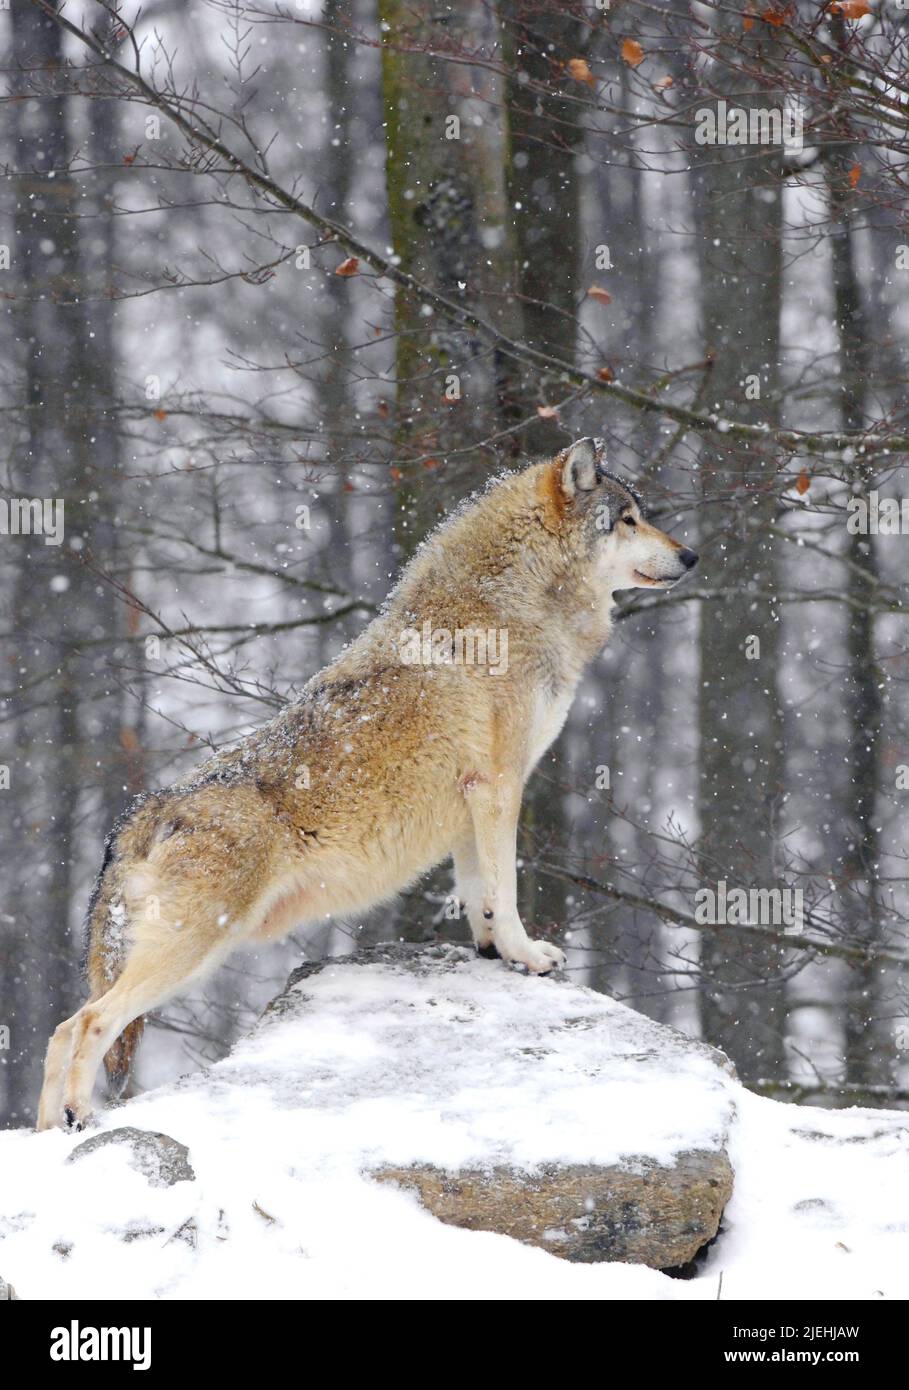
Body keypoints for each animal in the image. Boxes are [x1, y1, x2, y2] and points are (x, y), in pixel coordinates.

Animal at [36, 438, 697, 1131]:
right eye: (628, 519)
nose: (692, 555)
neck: (509, 605)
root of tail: (144, 810)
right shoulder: (499, 785)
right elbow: (507, 888)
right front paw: (527, 955)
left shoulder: (470, 801)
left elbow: (479, 893)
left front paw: (492, 951)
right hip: (192, 950)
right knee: (91, 1021)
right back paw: (83, 1115)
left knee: (60, 1031)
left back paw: (51, 1132)